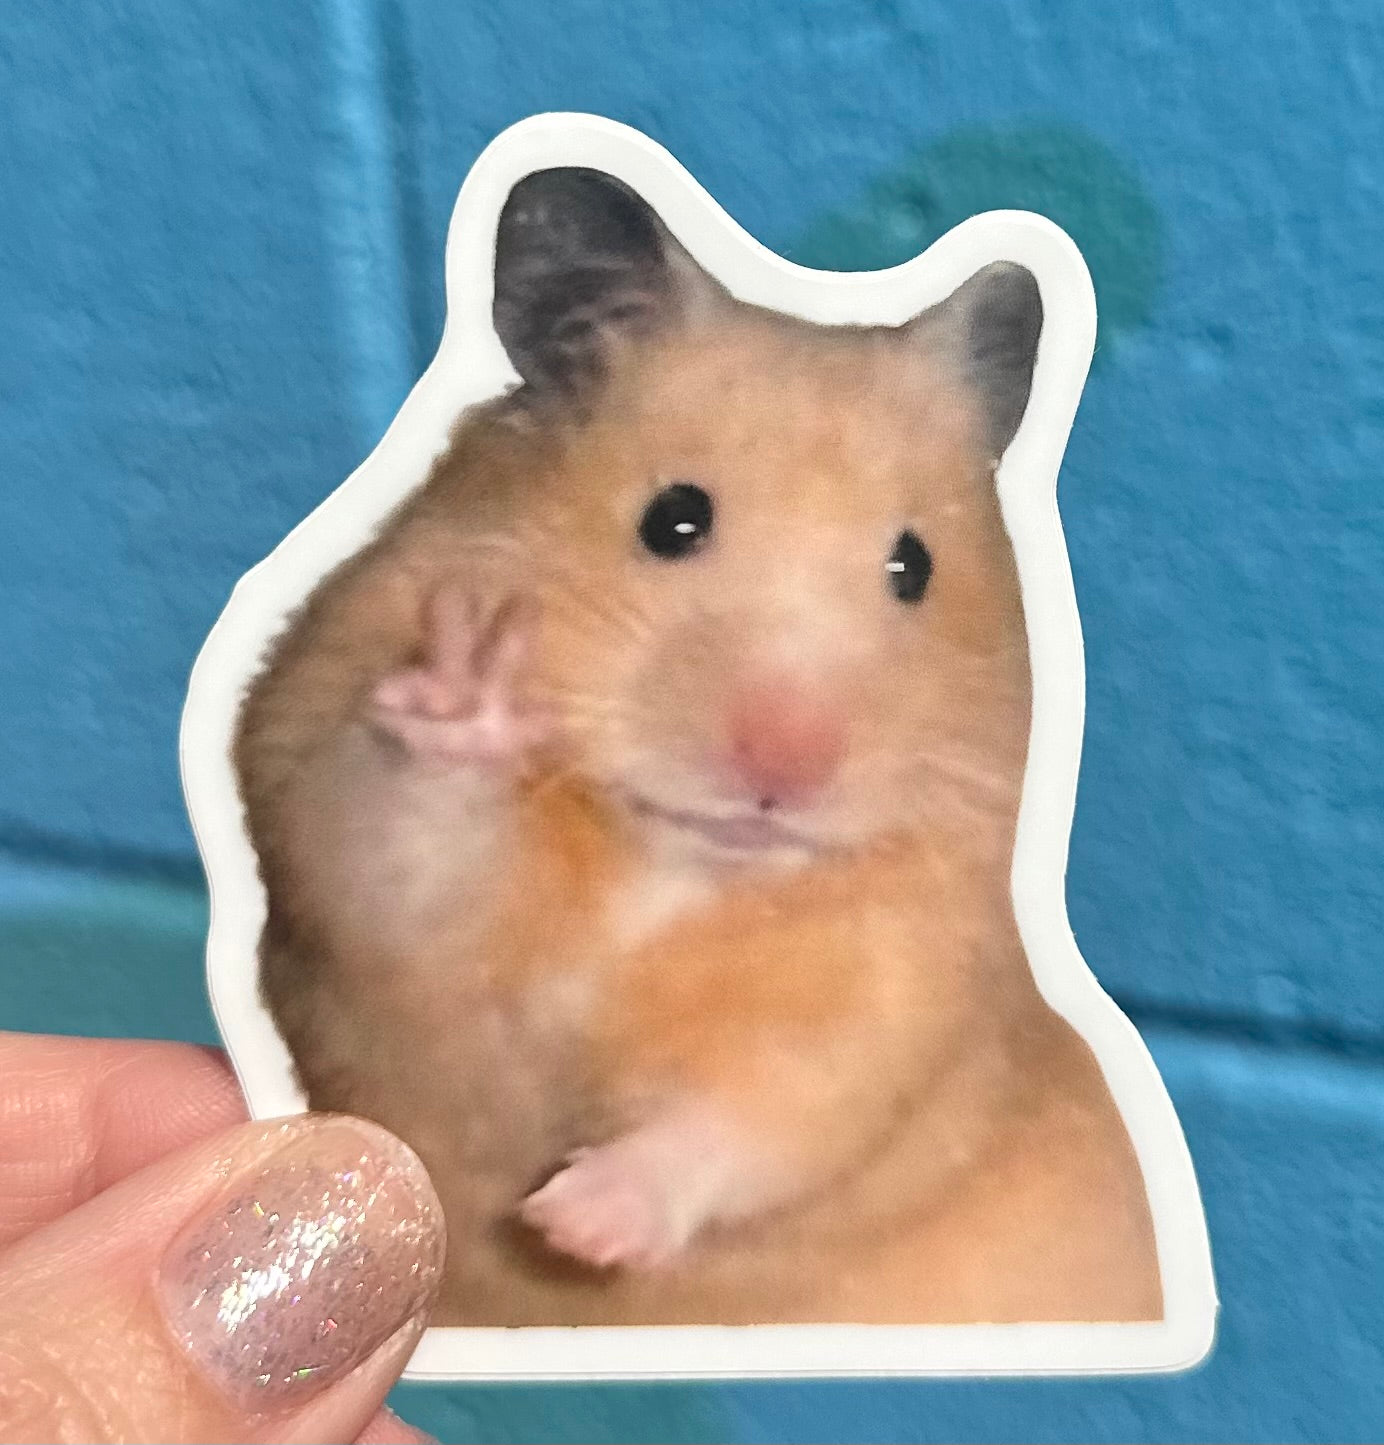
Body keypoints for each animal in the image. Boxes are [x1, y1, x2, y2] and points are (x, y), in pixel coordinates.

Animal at [233, 167, 1161, 1325]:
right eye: (672, 520)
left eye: (914, 566)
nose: (783, 769)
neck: (676, 865)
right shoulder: (340, 856)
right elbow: (401, 848)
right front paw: (468, 686)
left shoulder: (899, 992)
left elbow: (761, 1112)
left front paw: (574, 1222)